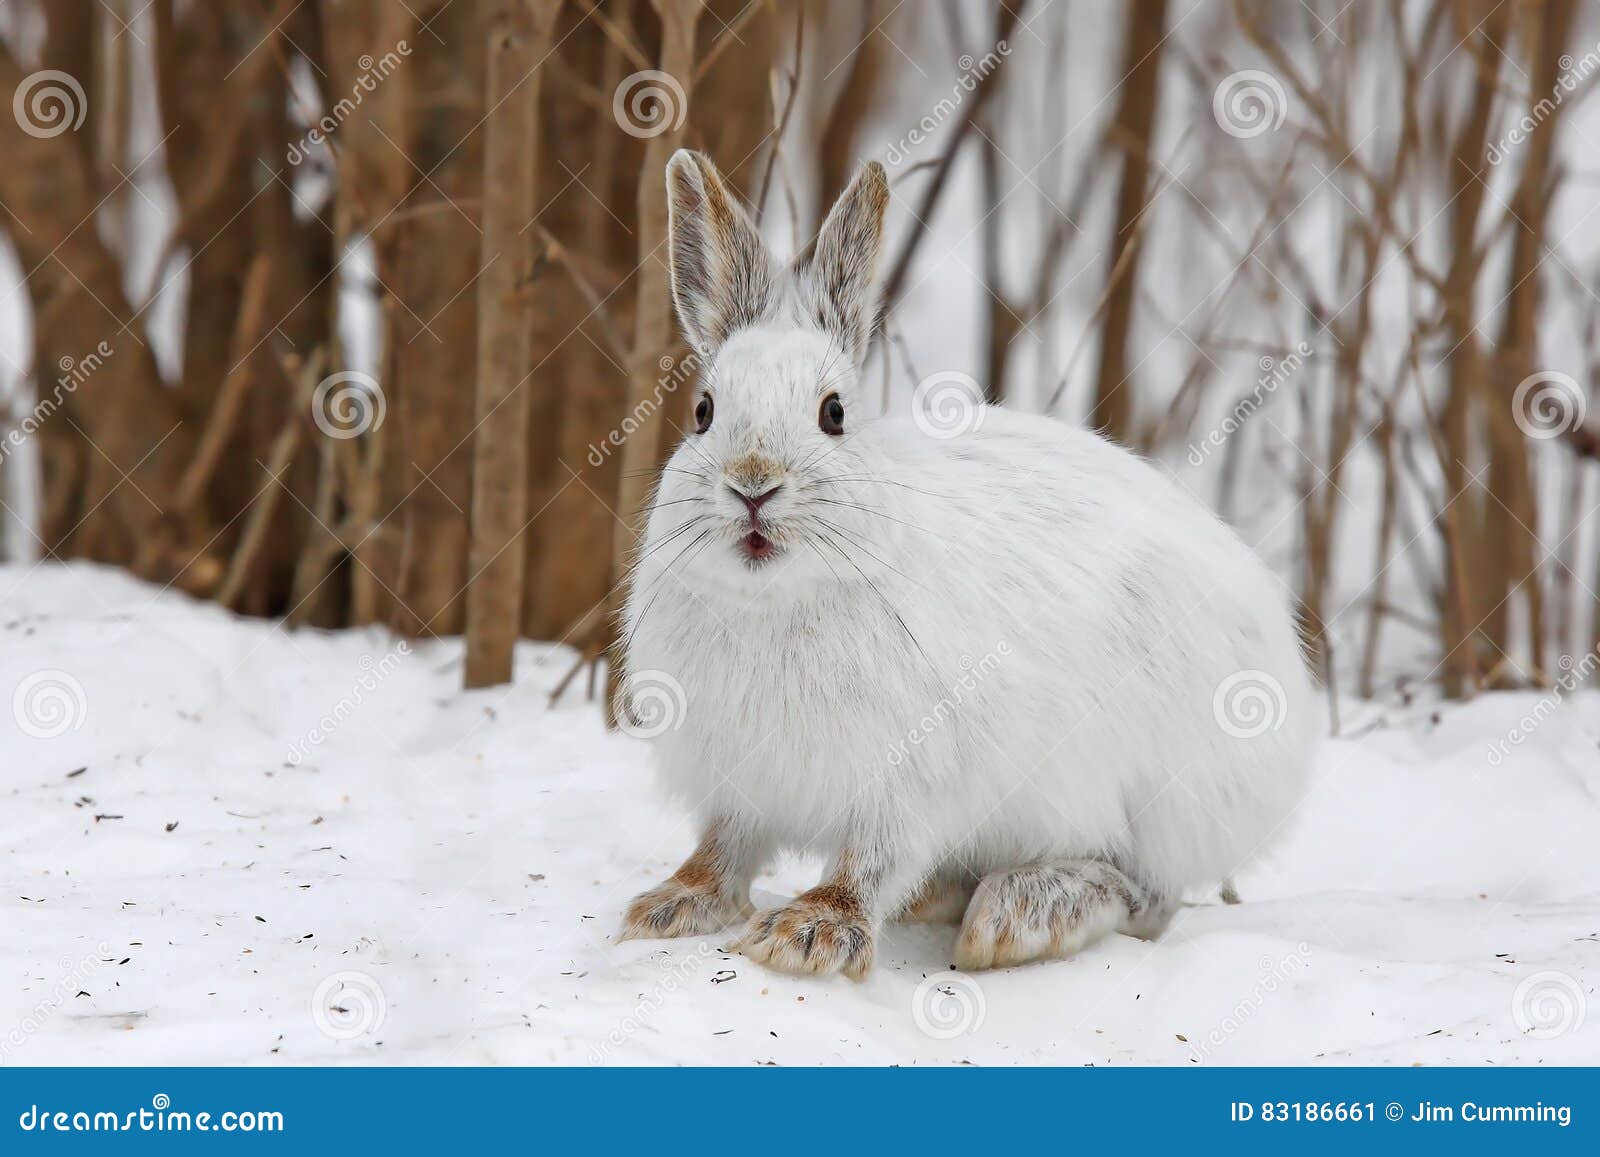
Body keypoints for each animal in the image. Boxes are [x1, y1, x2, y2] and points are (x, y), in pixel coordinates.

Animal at [617, 149, 1315, 978]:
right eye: (703, 412)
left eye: (833, 413)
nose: (753, 484)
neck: (777, 599)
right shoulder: (738, 784)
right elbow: (724, 847)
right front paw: (669, 904)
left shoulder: (913, 782)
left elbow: (870, 861)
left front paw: (809, 933)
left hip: (1157, 793)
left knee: (1147, 894)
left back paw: (1019, 914)